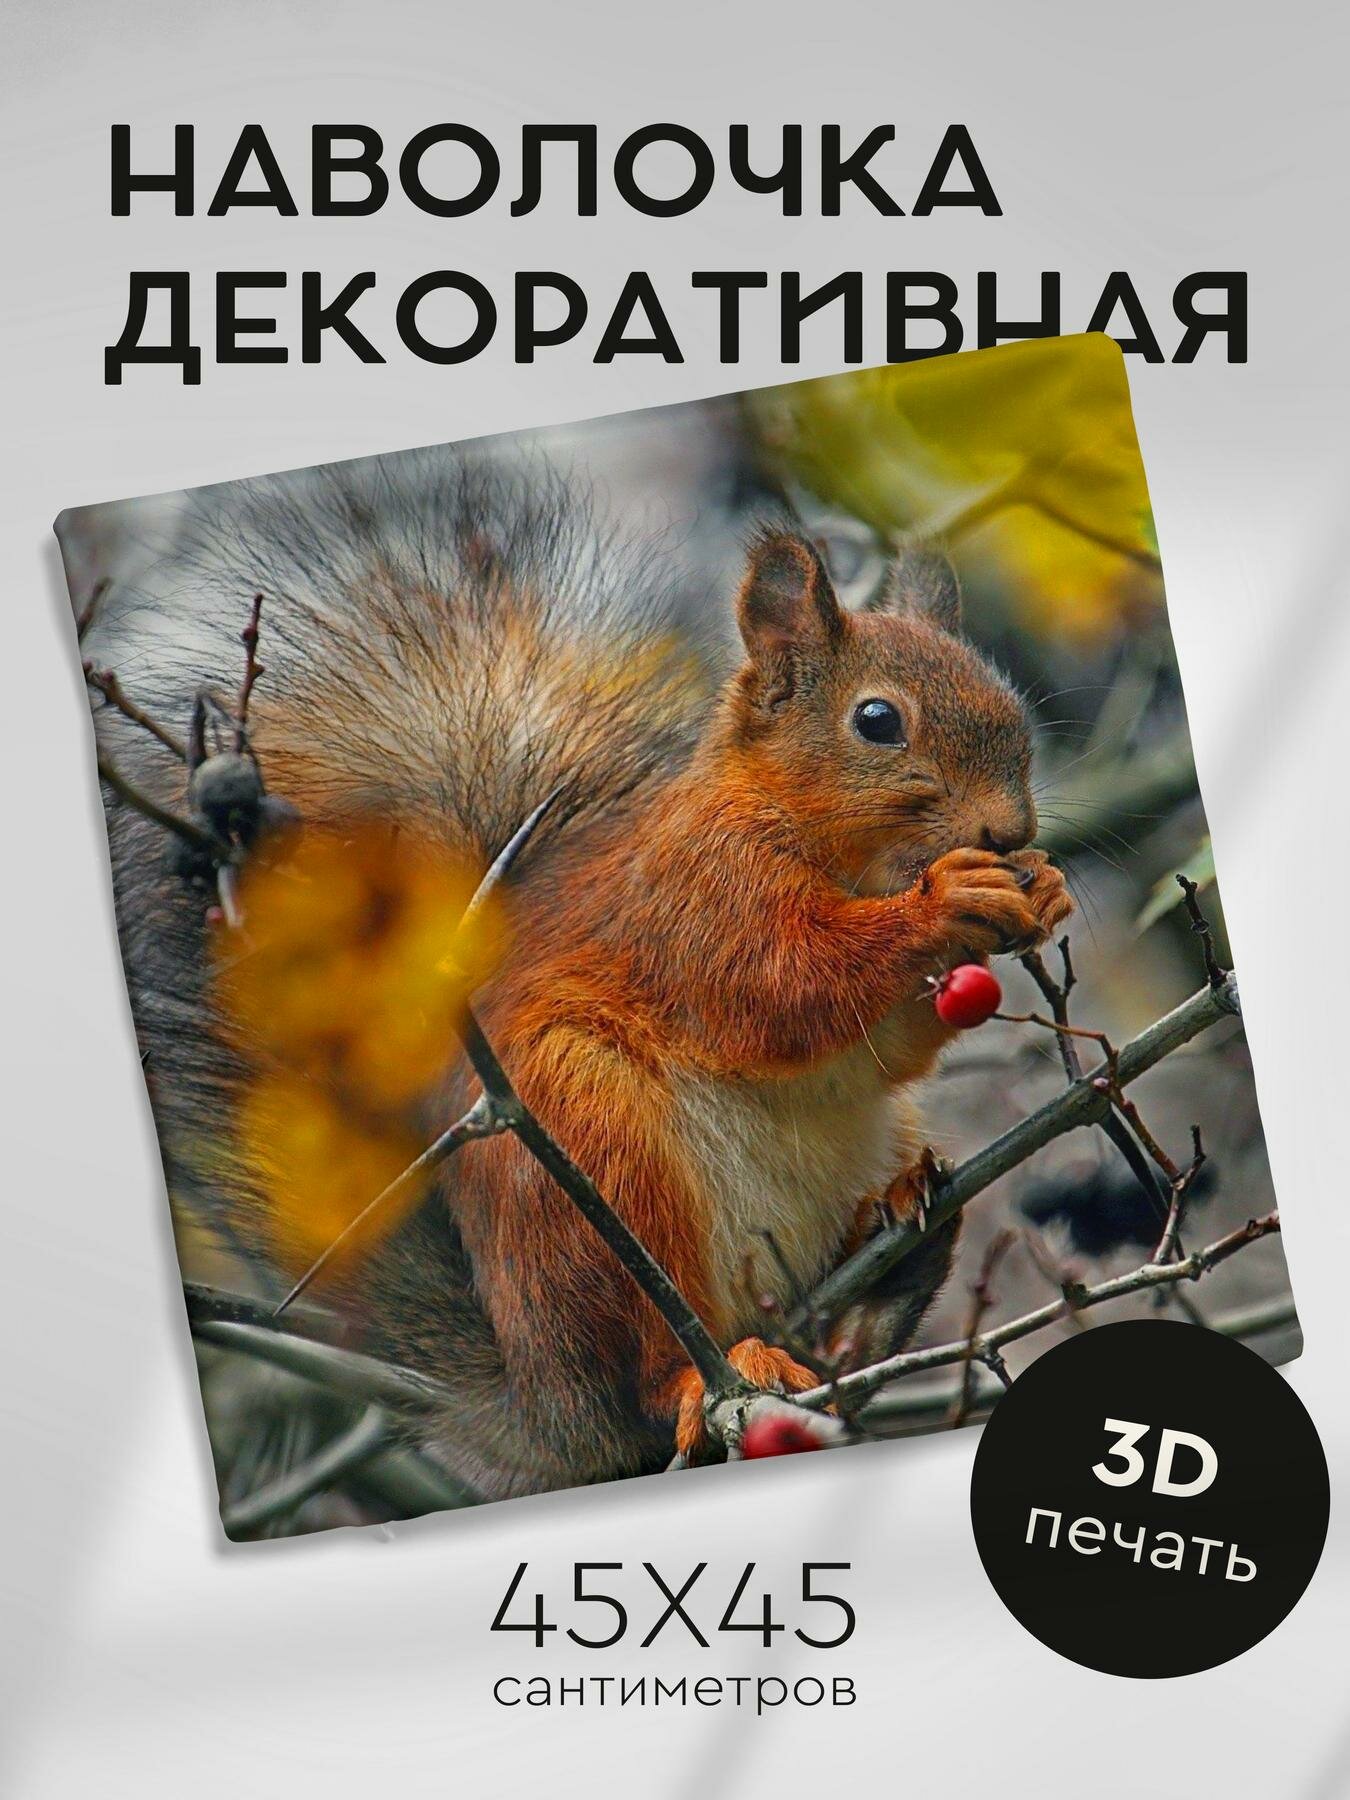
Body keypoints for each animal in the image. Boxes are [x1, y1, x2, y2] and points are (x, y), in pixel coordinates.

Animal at [66, 457, 1072, 1500]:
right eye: (877, 721)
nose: (1010, 831)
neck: (827, 844)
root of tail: (546, 1404)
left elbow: (883, 1051)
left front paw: (1042, 890)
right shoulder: (697, 896)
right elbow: (783, 990)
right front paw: (949, 899)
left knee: (836, 1335)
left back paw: (893, 1247)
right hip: (588, 1157)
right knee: (649, 1360)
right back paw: (717, 1369)